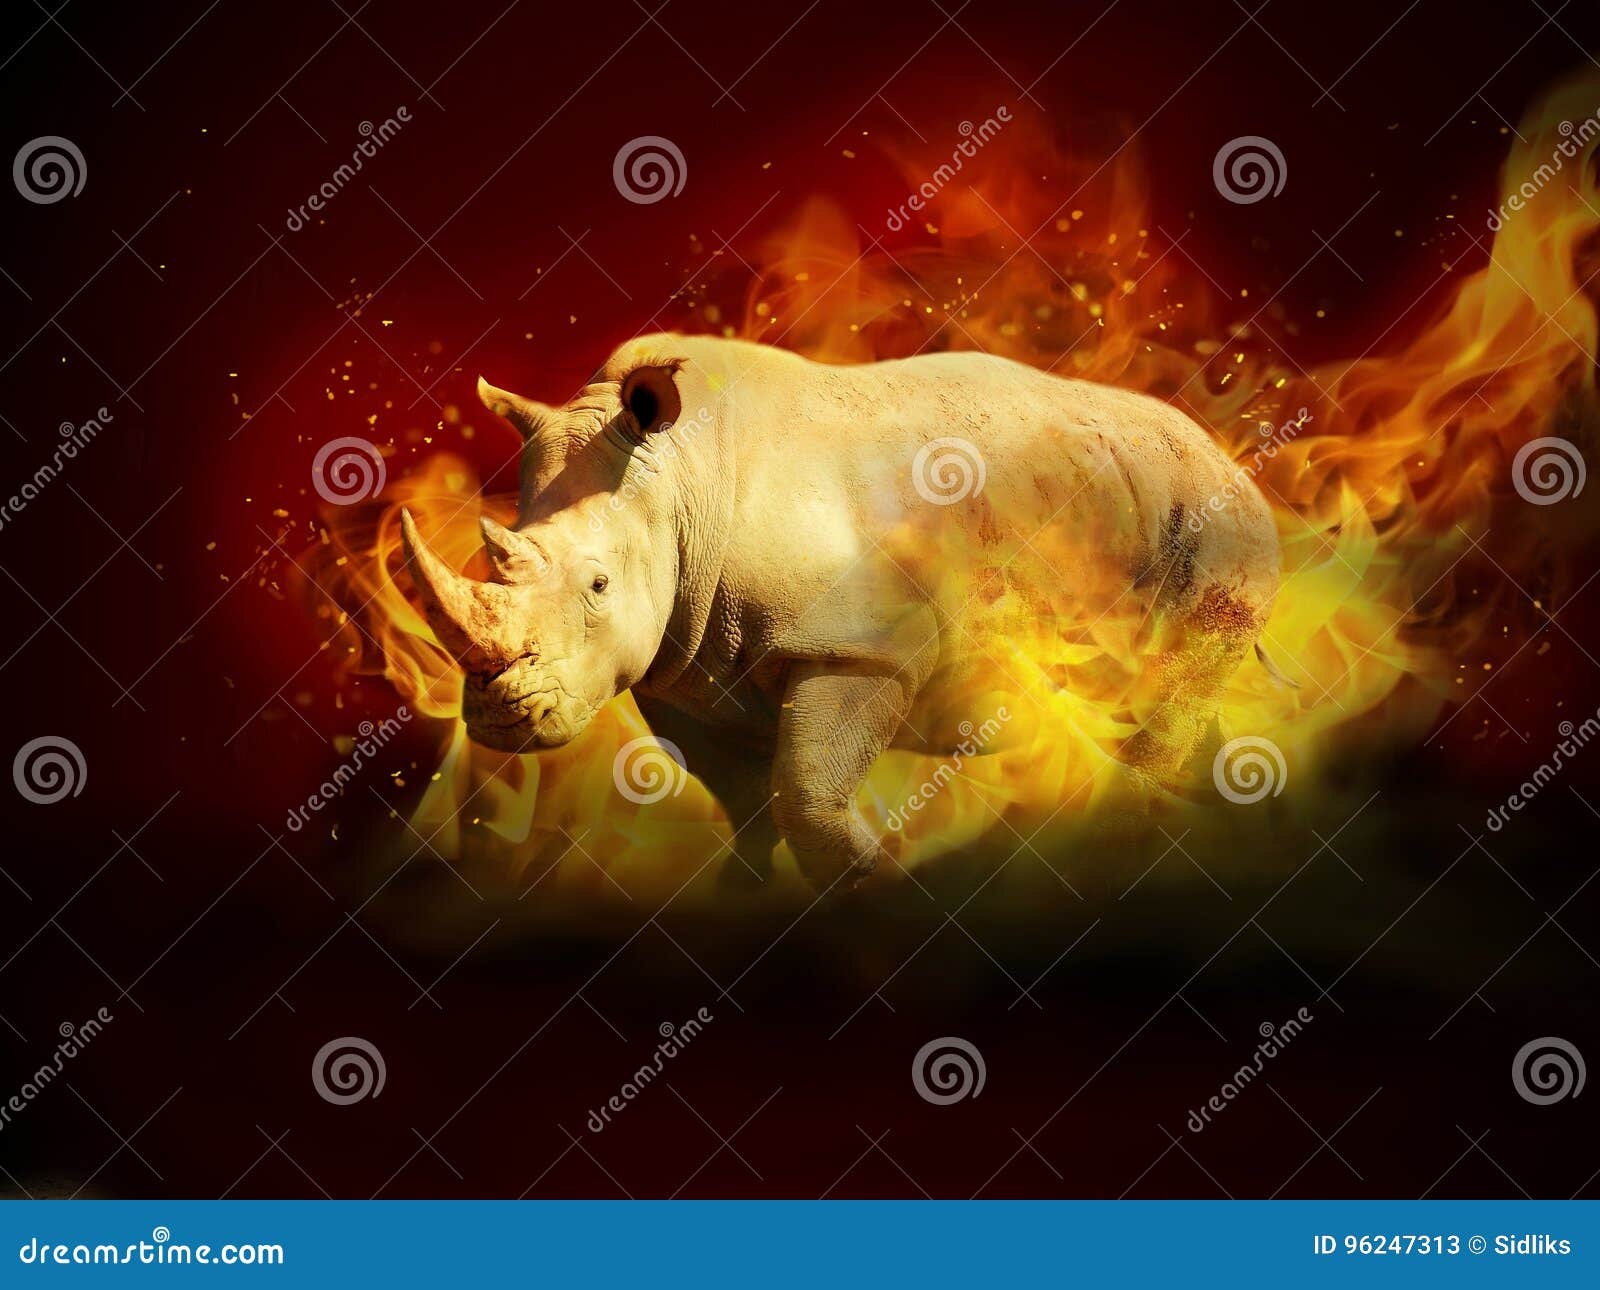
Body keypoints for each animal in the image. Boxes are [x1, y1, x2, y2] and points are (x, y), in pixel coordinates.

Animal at [400, 334, 1281, 889]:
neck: (683, 481)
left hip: (1217, 520)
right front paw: (745, 895)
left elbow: (805, 789)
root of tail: (1225, 453)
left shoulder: (862, 646)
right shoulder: (682, 667)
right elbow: (745, 801)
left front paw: (875, 884)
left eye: (598, 587)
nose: (498, 716)